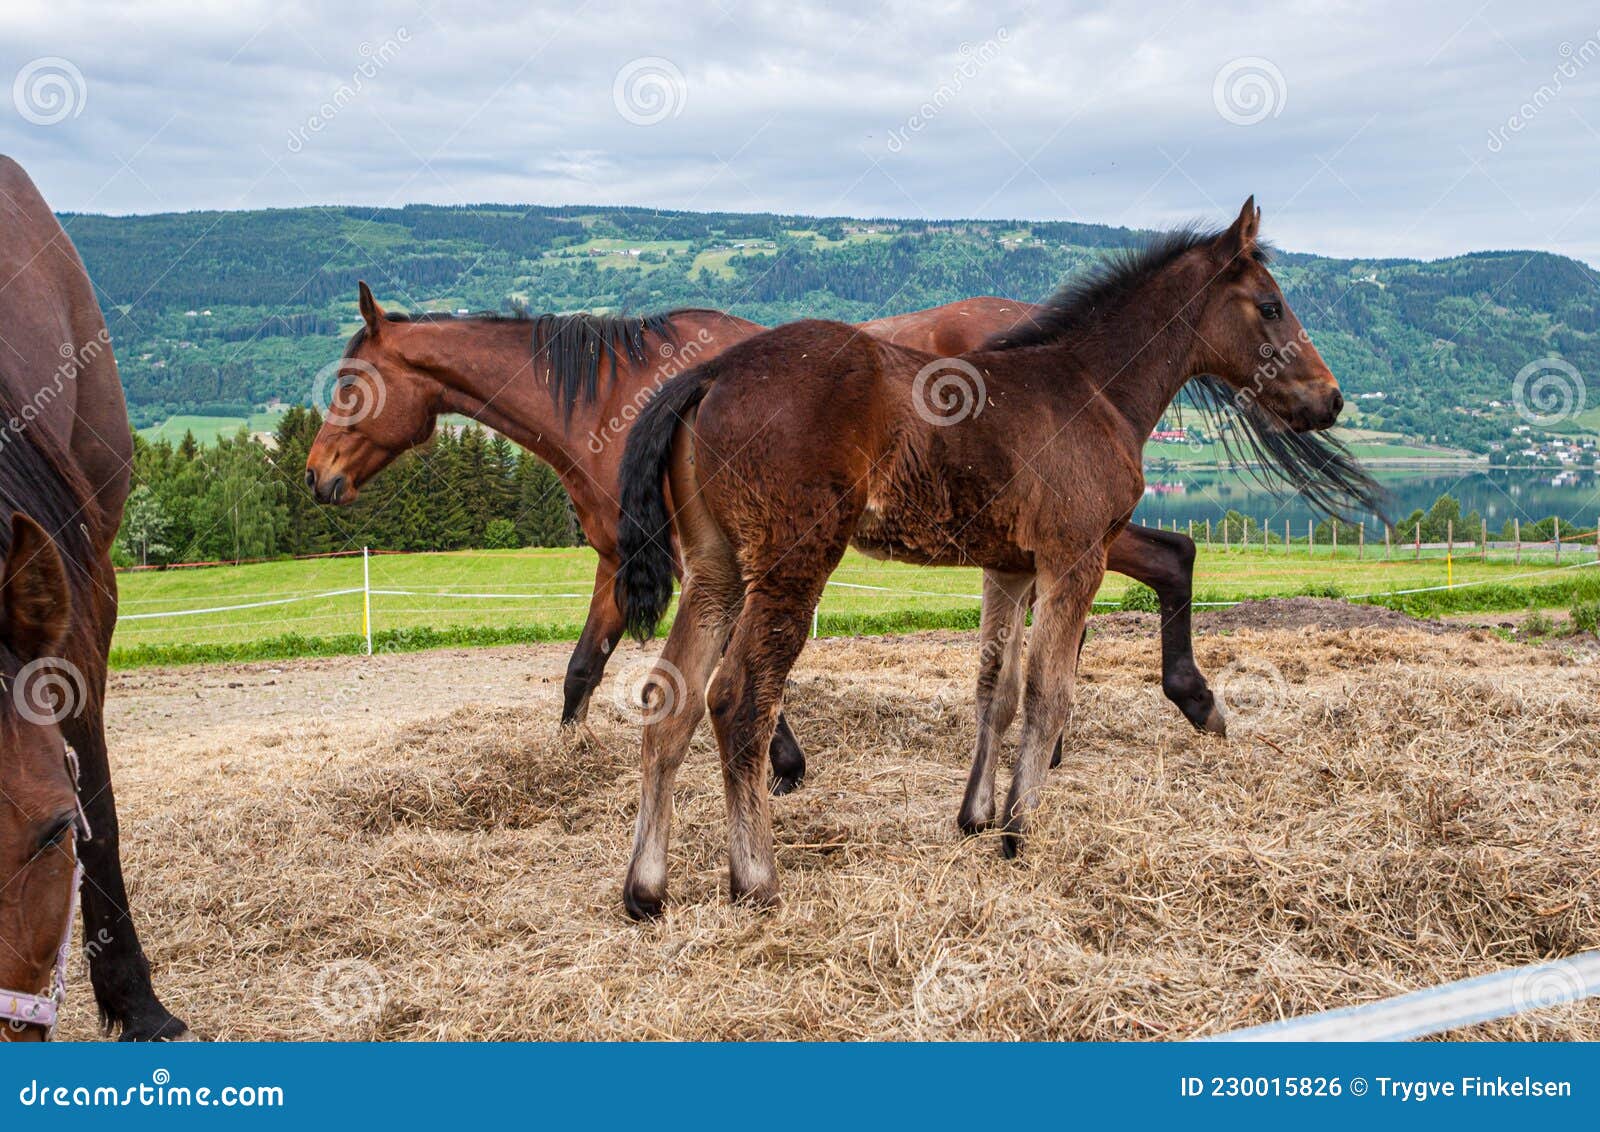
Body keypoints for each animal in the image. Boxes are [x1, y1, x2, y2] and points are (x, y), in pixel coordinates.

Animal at [303, 285, 1377, 787]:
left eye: (351, 387)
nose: (316, 476)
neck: (624, 395)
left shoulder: (708, 560)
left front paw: (781, 764)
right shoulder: (632, 561)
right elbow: (581, 669)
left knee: (1166, 563)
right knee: (1164, 564)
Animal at [614, 198, 1348, 916]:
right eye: (1272, 305)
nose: (1331, 398)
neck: (1092, 387)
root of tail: (712, 372)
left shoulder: (1010, 569)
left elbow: (996, 689)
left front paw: (977, 815)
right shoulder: (1075, 559)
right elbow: (1049, 691)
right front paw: (1019, 829)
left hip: (715, 571)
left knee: (670, 700)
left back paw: (646, 889)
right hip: (791, 564)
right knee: (739, 701)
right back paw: (756, 880)